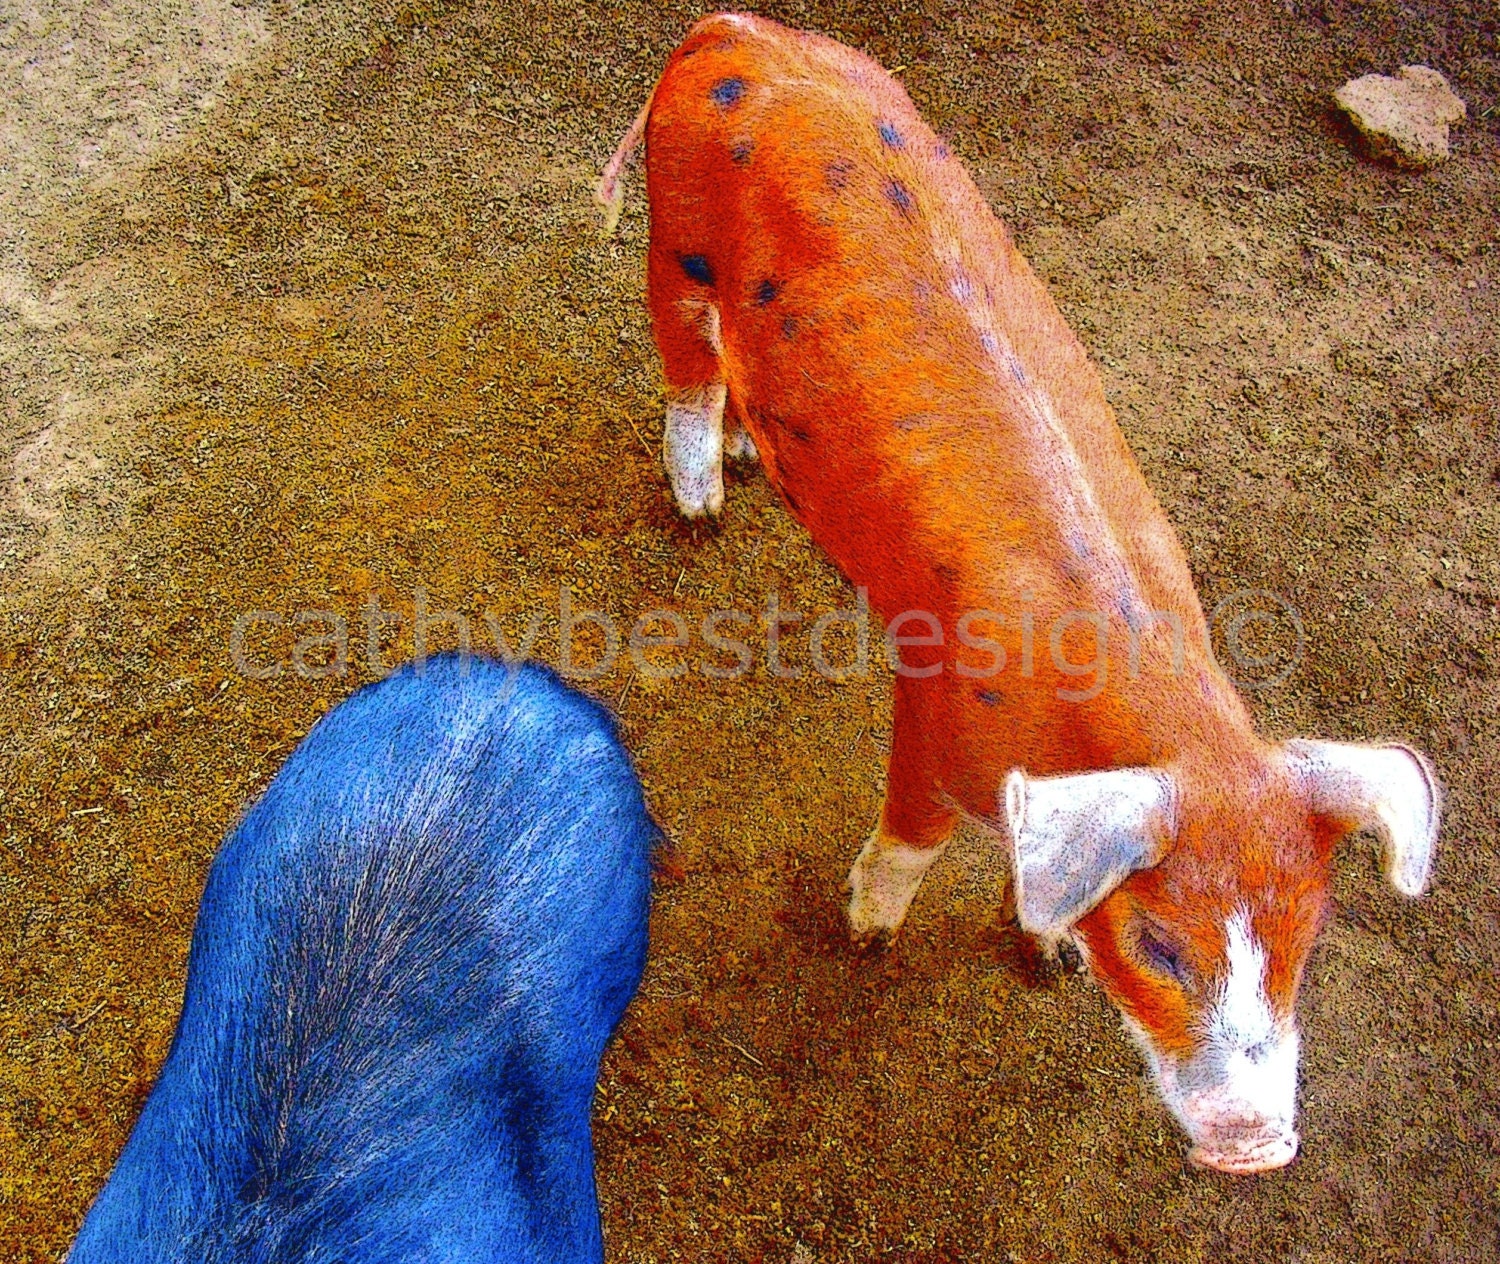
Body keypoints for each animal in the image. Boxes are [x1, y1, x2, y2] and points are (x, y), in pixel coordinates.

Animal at [598, 12, 1440, 1173]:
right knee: (685, 367)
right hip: (671, 238)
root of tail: (735, 31)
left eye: (1300, 948)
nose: (1260, 1146)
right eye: (1159, 944)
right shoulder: (929, 706)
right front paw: (865, 935)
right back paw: (701, 507)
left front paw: (1049, 960)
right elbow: (912, 834)